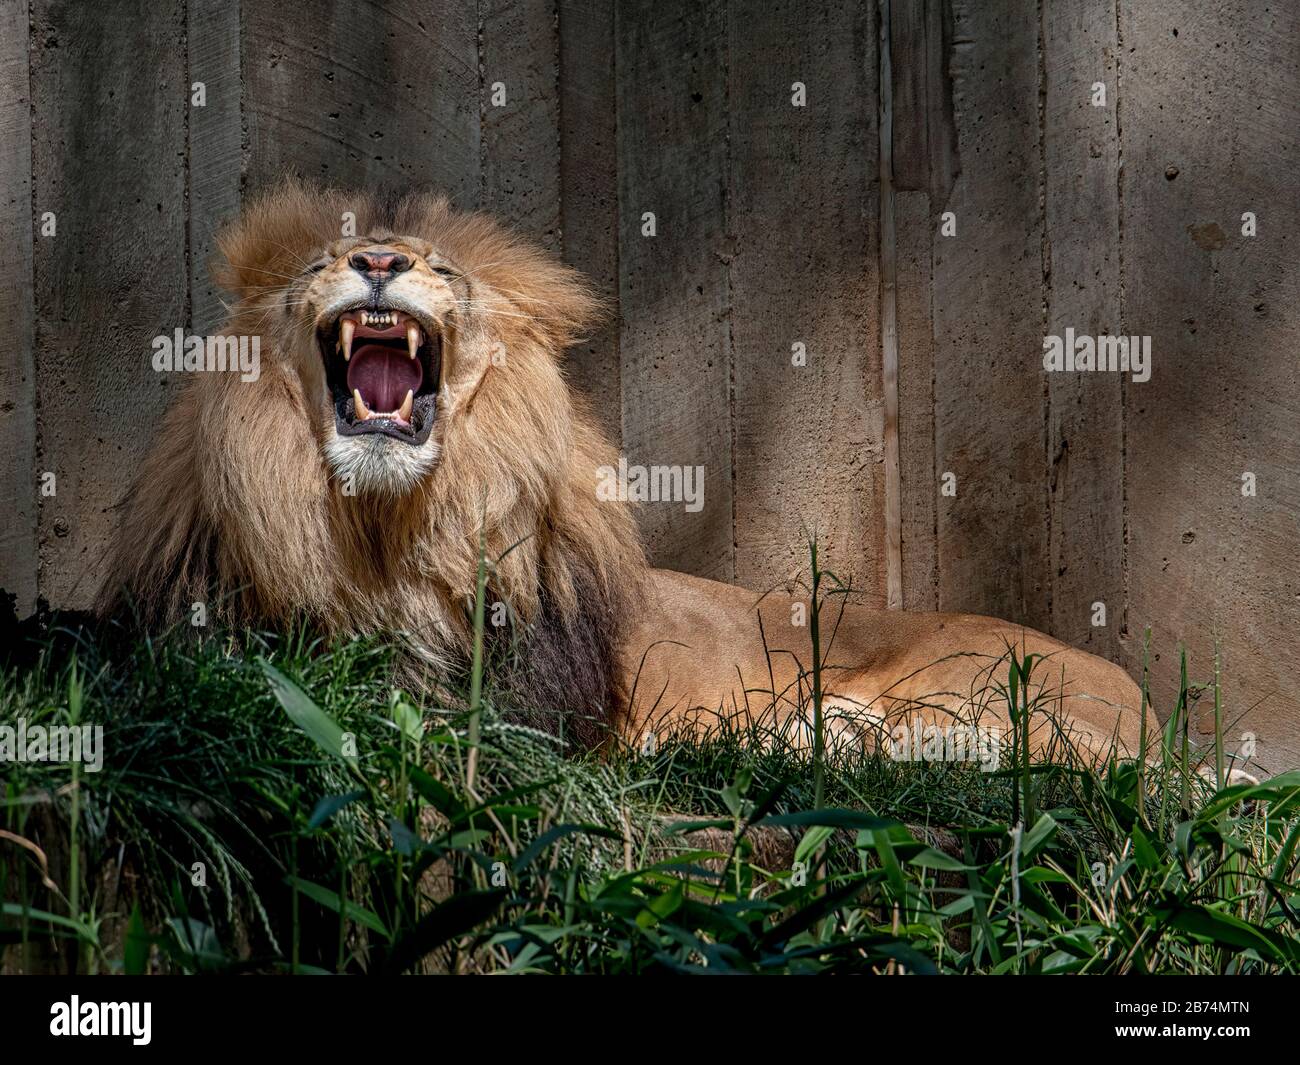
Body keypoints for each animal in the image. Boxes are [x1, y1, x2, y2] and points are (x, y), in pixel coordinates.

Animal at [98, 179, 1156, 764]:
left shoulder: (543, 718)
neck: (388, 531)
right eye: (324, 259)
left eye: (440, 267)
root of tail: (1148, 704)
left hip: (973, 679)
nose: (381, 260)